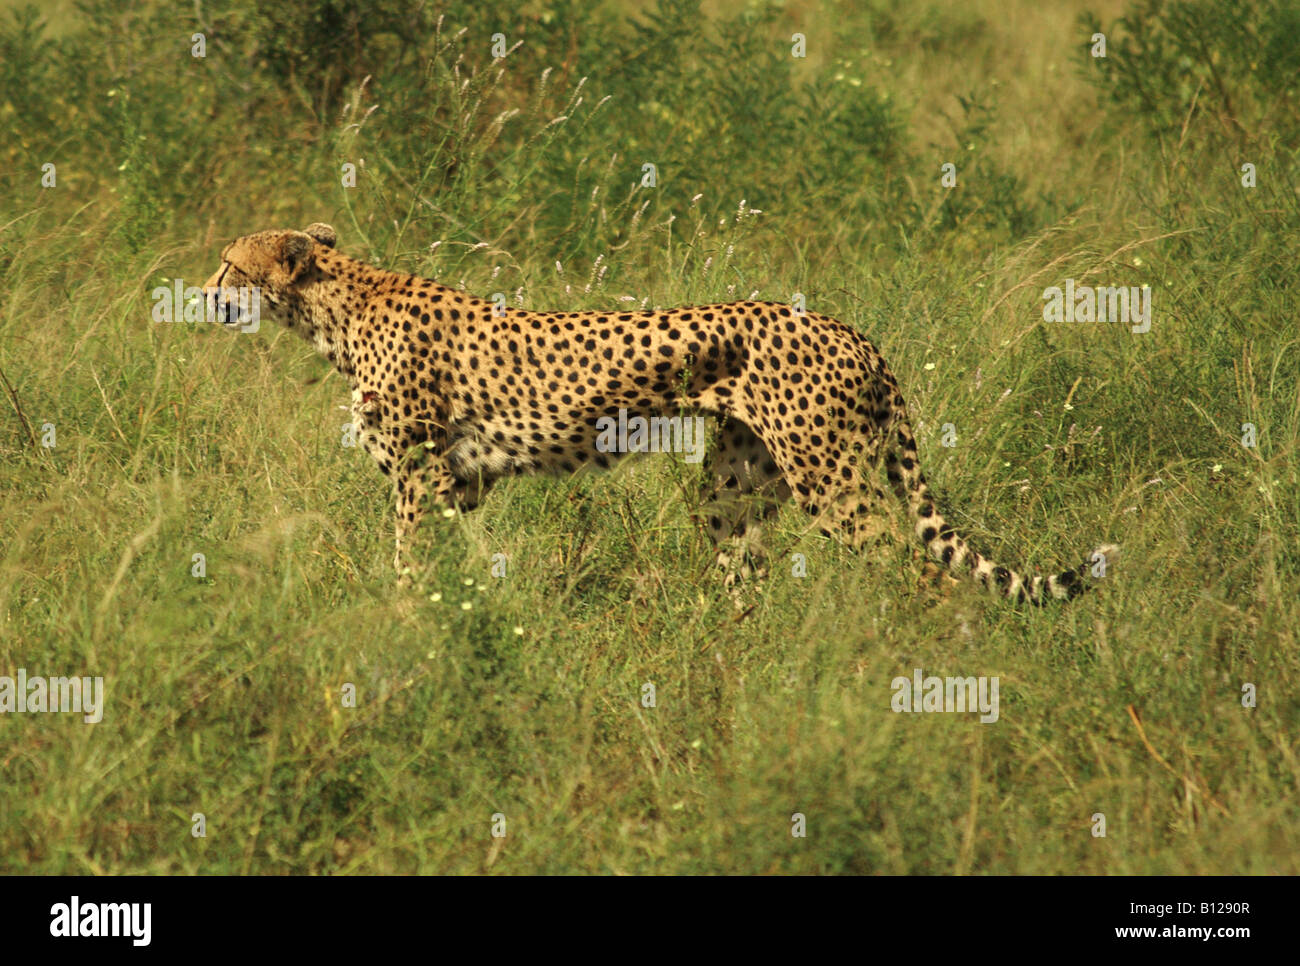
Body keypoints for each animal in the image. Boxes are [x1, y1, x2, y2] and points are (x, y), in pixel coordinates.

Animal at [202, 223, 1117, 604]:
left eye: (228, 264)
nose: (203, 294)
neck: (336, 306)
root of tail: (849, 327)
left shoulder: (418, 480)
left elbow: (407, 562)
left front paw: (405, 625)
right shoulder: (460, 486)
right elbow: (461, 561)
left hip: (830, 480)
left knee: (914, 565)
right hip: (734, 488)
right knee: (746, 574)